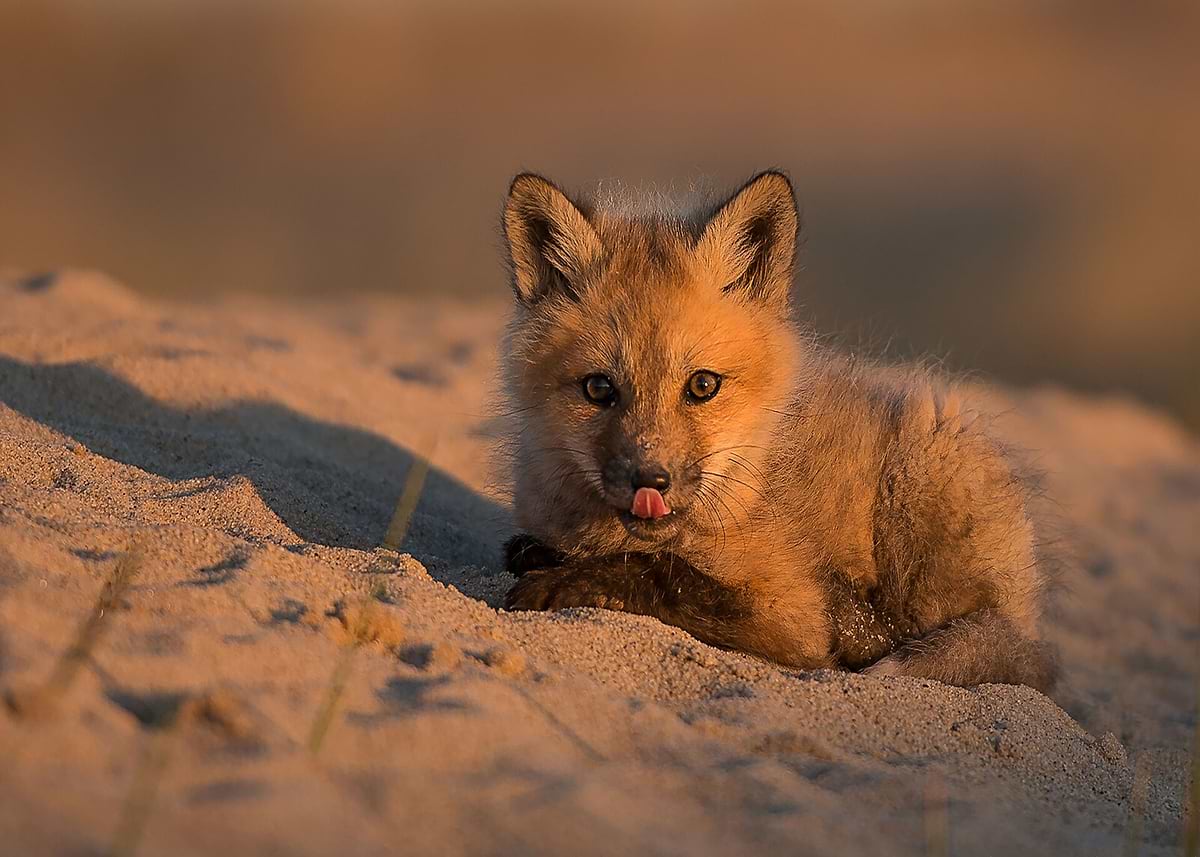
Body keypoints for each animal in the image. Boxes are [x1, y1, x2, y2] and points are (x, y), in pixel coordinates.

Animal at [498, 170, 1057, 692]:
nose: (649, 481)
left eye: (702, 385)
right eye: (598, 389)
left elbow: (667, 575)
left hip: (923, 476)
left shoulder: (792, 615)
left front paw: (568, 581)